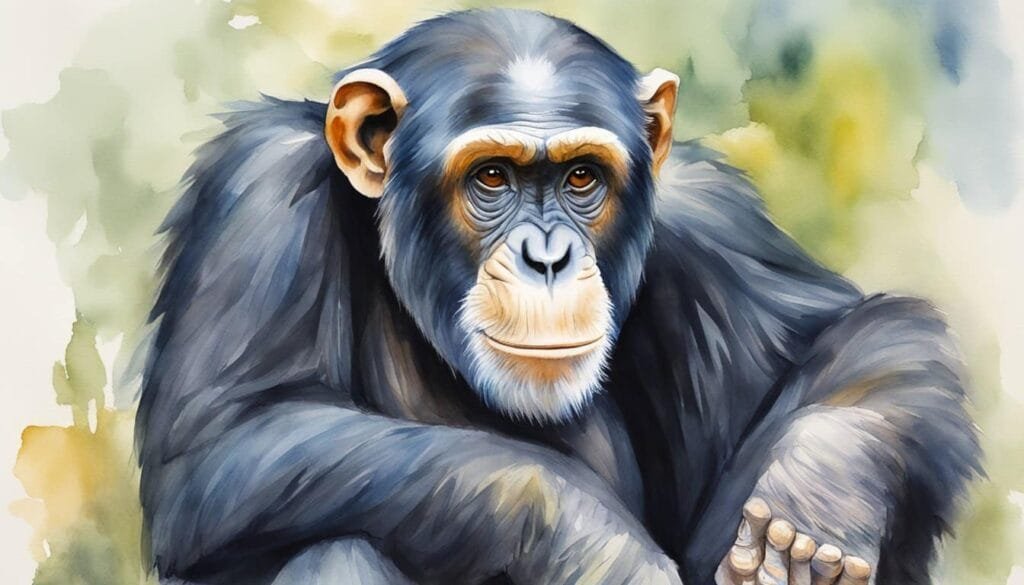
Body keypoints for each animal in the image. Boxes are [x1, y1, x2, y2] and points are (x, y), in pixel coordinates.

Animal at [137, 9, 980, 585]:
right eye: (491, 177)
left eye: (581, 178)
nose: (548, 256)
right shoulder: (261, 188)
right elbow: (226, 440)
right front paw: (596, 544)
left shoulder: (707, 217)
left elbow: (855, 328)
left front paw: (819, 484)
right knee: (334, 545)